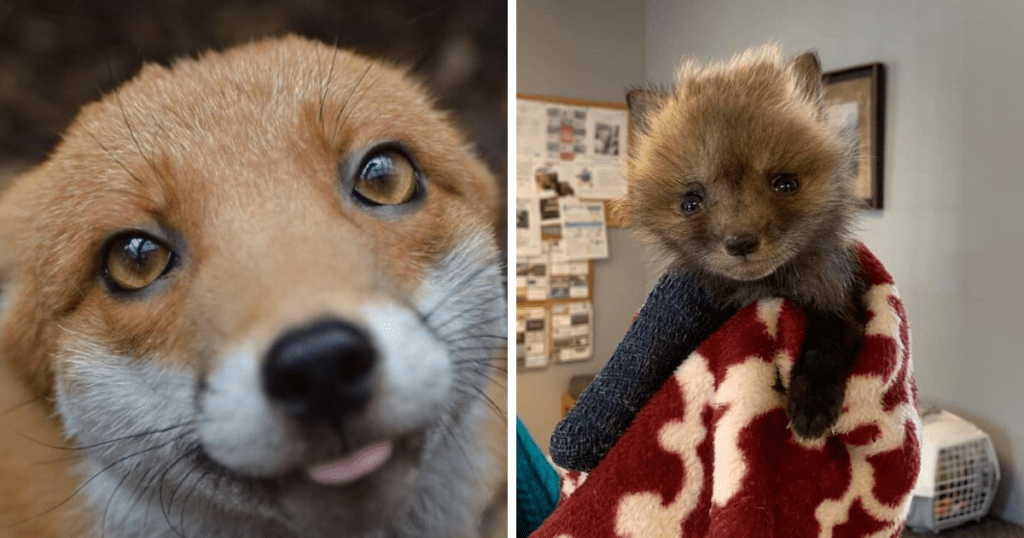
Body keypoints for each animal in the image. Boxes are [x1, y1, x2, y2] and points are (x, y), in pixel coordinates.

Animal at [621, 44, 865, 440]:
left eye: (785, 183)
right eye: (691, 202)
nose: (740, 243)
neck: (764, 290)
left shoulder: (841, 299)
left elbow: (829, 343)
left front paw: (811, 403)